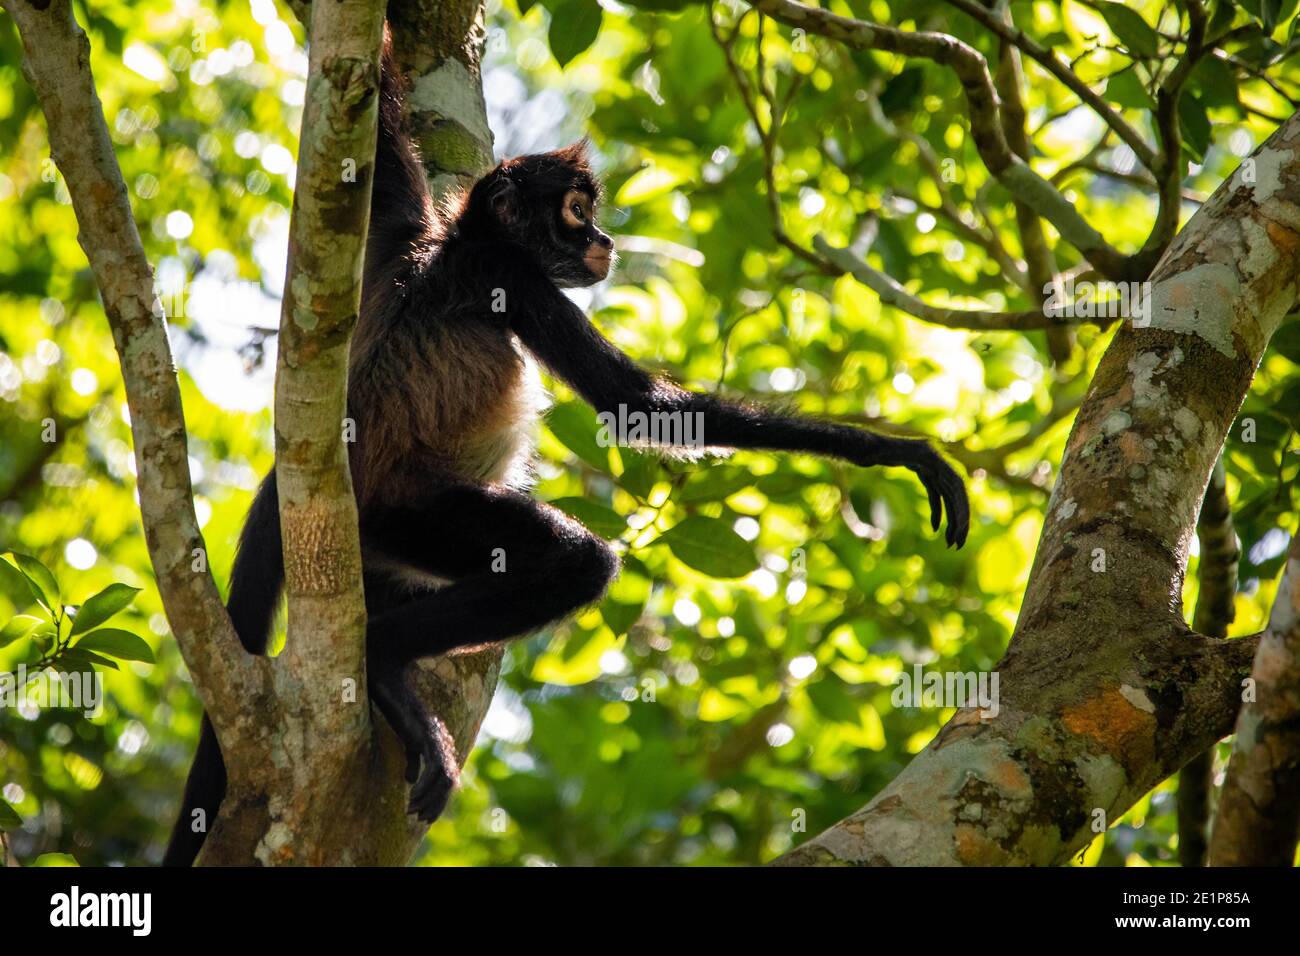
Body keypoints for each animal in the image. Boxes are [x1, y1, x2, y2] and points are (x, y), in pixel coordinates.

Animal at [162, 35, 968, 866]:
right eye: (577, 215)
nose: (605, 241)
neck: (459, 243)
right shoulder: (512, 278)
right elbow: (639, 408)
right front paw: (891, 450)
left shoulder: (400, 224)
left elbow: (372, 130)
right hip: (406, 517)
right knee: (576, 561)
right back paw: (385, 657)